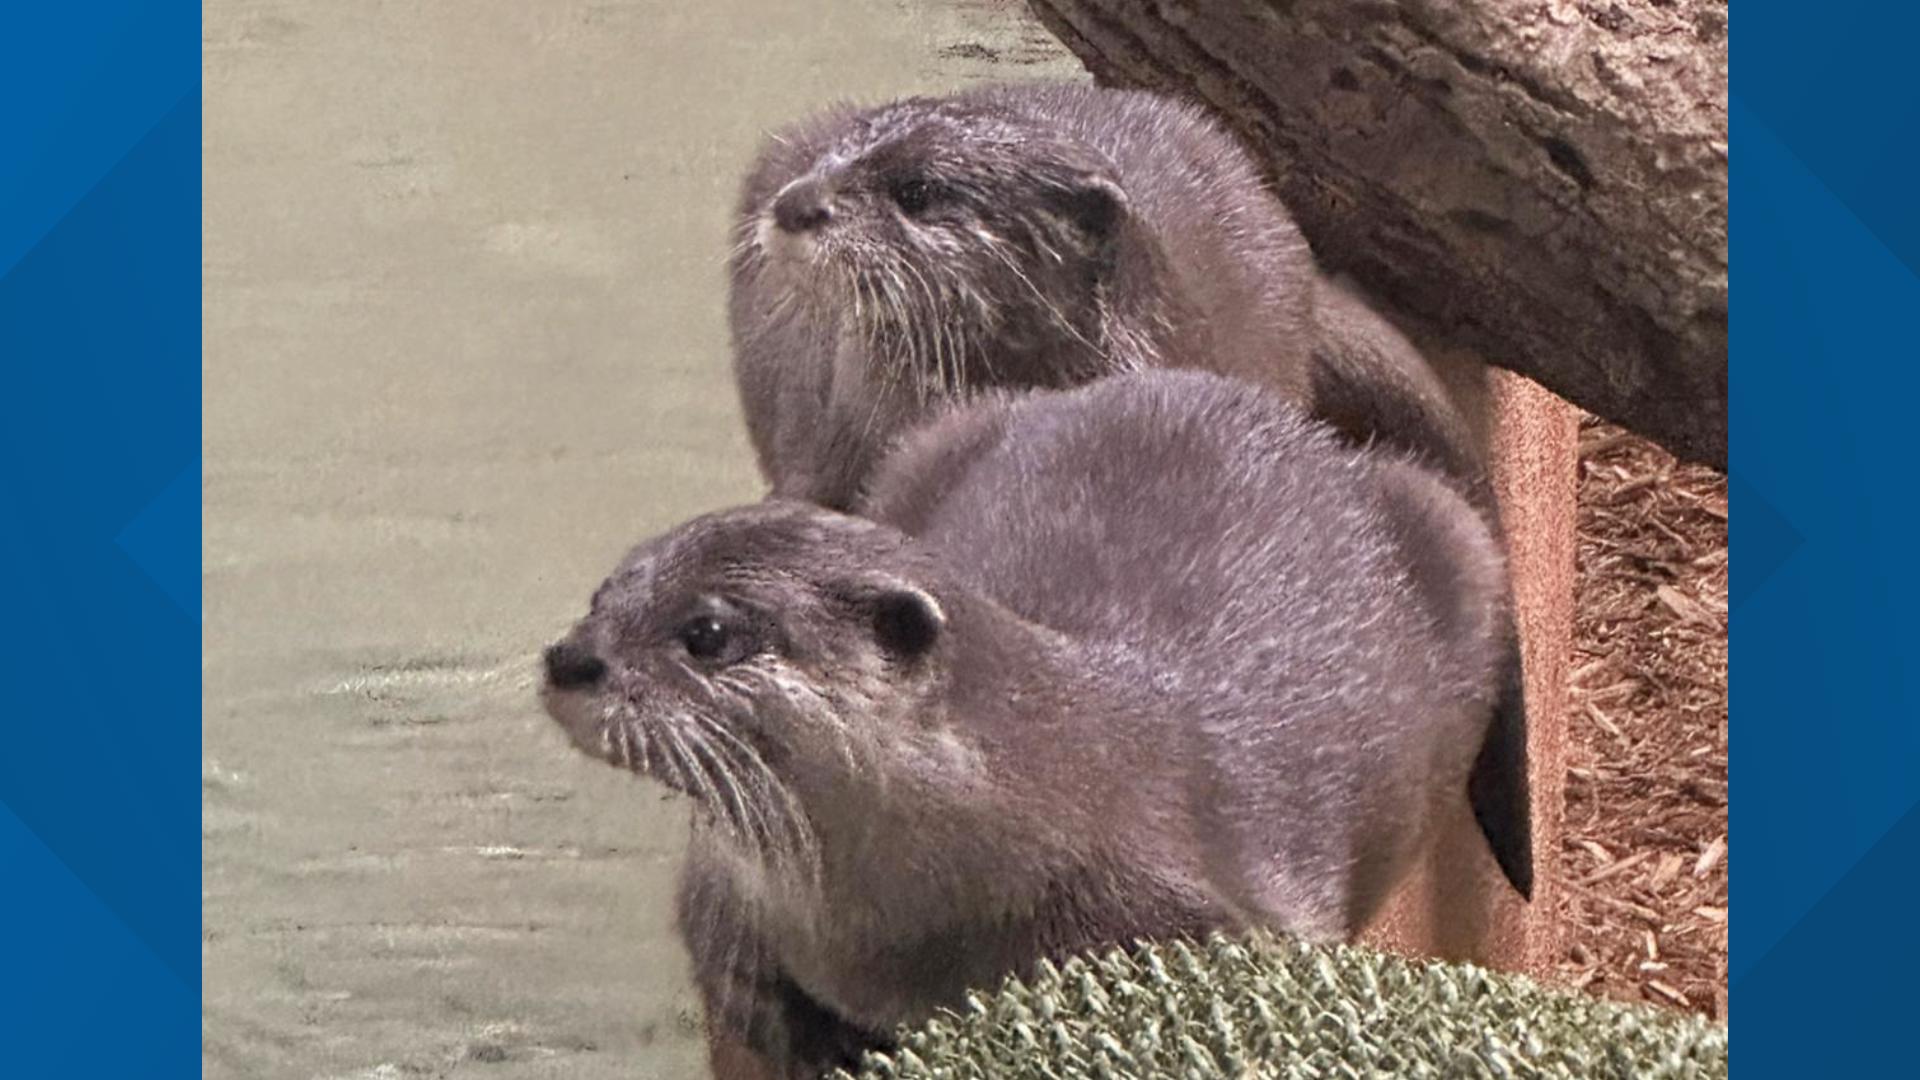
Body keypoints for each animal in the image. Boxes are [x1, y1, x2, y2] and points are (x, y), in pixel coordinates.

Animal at [543, 372, 1510, 1079]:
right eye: (603, 592)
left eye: (708, 633)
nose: (569, 660)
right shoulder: (727, 885)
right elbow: (733, 974)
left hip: (1465, 543)